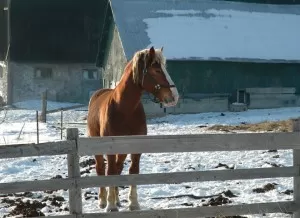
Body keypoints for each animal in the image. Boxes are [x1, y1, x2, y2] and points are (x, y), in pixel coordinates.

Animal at [88, 46, 179, 211]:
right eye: (157, 70)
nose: (175, 97)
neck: (124, 109)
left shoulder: (135, 146)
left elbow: (133, 171)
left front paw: (133, 203)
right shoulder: (110, 147)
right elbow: (110, 171)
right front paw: (110, 205)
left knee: (118, 168)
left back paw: (117, 199)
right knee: (101, 168)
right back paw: (103, 200)